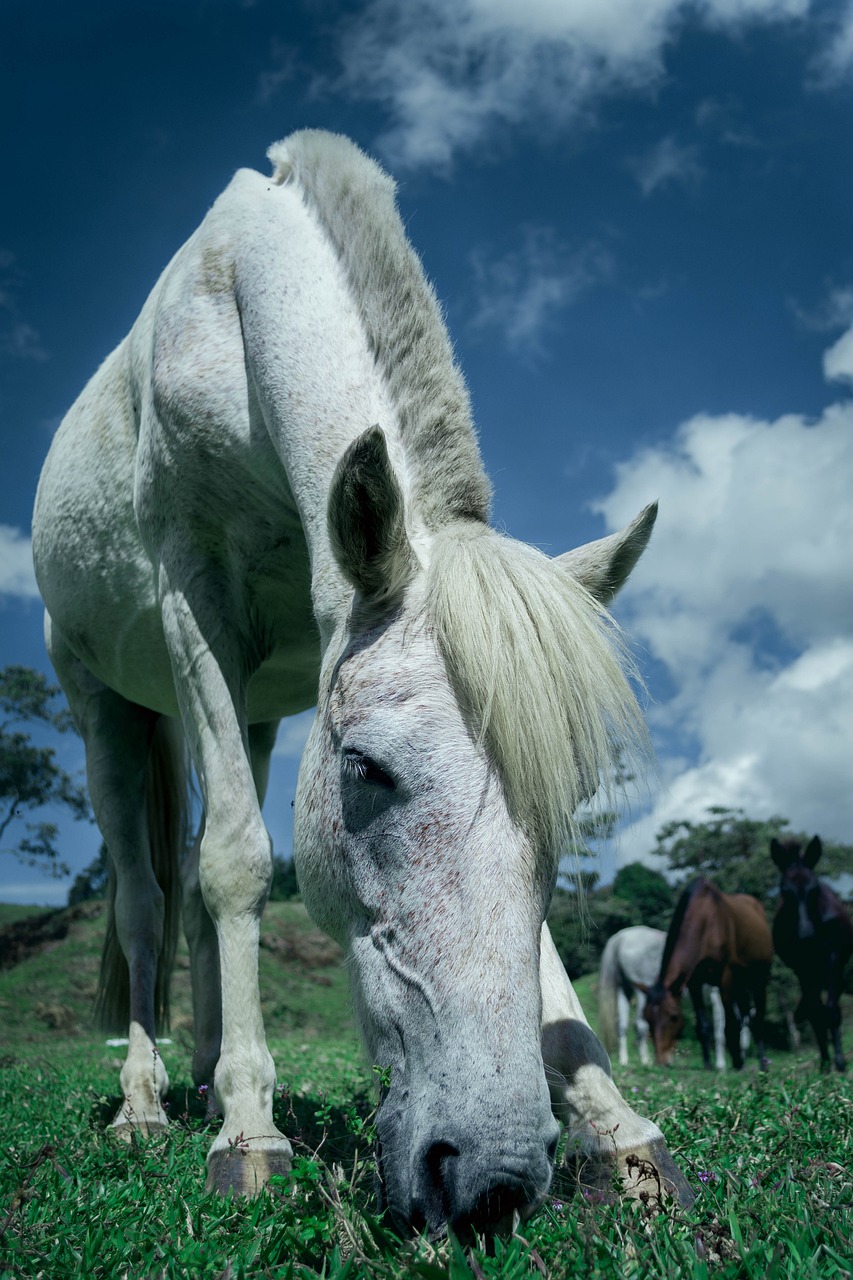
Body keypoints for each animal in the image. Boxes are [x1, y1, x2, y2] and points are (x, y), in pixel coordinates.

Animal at [32, 129, 693, 1235]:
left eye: (566, 798)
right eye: (365, 769)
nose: (489, 1178)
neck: (237, 308)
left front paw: (614, 1121)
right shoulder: (192, 601)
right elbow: (234, 867)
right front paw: (250, 1139)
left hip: (251, 720)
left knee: (203, 882)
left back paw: (208, 1072)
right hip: (104, 710)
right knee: (148, 895)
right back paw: (149, 1102)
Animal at [599, 925, 732, 1069]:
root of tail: (621, 936)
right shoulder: (716, 997)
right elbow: (720, 1032)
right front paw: (720, 1065)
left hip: (624, 989)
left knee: (622, 1025)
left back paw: (624, 1060)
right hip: (642, 992)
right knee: (640, 1025)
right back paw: (645, 1060)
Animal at [643, 878, 771, 1070]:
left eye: (673, 1017)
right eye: (647, 1018)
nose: (661, 1061)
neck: (706, 923)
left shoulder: (726, 976)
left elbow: (731, 1025)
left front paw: (737, 1064)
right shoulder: (693, 982)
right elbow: (703, 1025)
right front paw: (709, 1064)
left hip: (758, 981)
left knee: (757, 1019)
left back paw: (762, 1063)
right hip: (740, 986)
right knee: (745, 1017)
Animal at [771, 836, 853, 1072]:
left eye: (815, 889)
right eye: (784, 891)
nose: (806, 937)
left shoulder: (833, 958)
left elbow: (832, 1010)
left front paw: (840, 1062)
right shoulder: (802, 968)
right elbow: (816, 1013)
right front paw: (825, 1063)